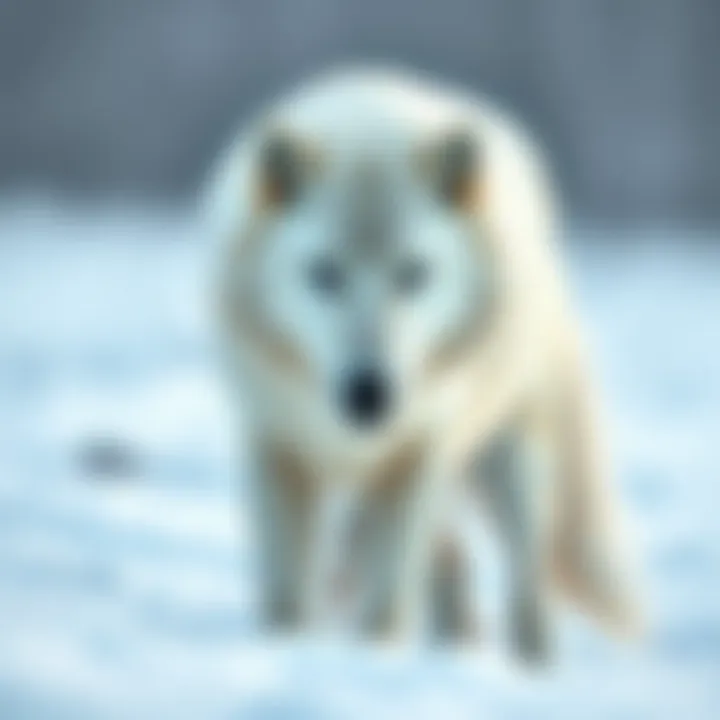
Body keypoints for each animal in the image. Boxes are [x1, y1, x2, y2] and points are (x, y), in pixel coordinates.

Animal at [205, 67, 641, 662]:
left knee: (526, 581)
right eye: (325, 272)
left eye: (412, 272)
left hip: (507, 462)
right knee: (451, 564)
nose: (370, 392)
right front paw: (284, 652)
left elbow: (386, 600)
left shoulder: (419, 451)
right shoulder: (275, 448)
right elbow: (286, 595)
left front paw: (375, 662)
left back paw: (528, 664)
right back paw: (451, 650)